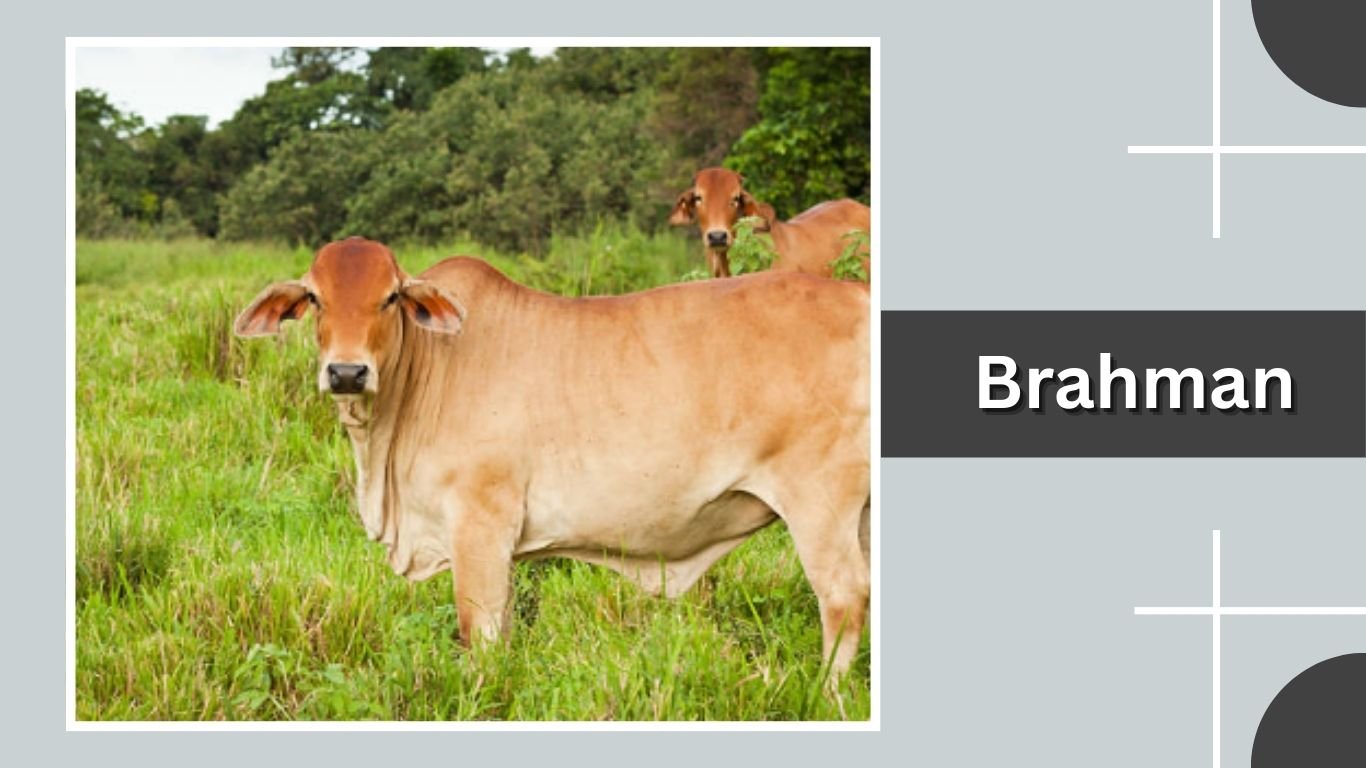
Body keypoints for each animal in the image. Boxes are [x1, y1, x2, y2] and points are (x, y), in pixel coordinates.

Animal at [234, 237, 871, 676]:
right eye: (315, 298)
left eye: (390, 297)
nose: (347, 372)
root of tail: (861, 298)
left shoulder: (480, 524)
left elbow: (480, 634)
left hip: (821, 501)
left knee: (844, 596)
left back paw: (824, 693)